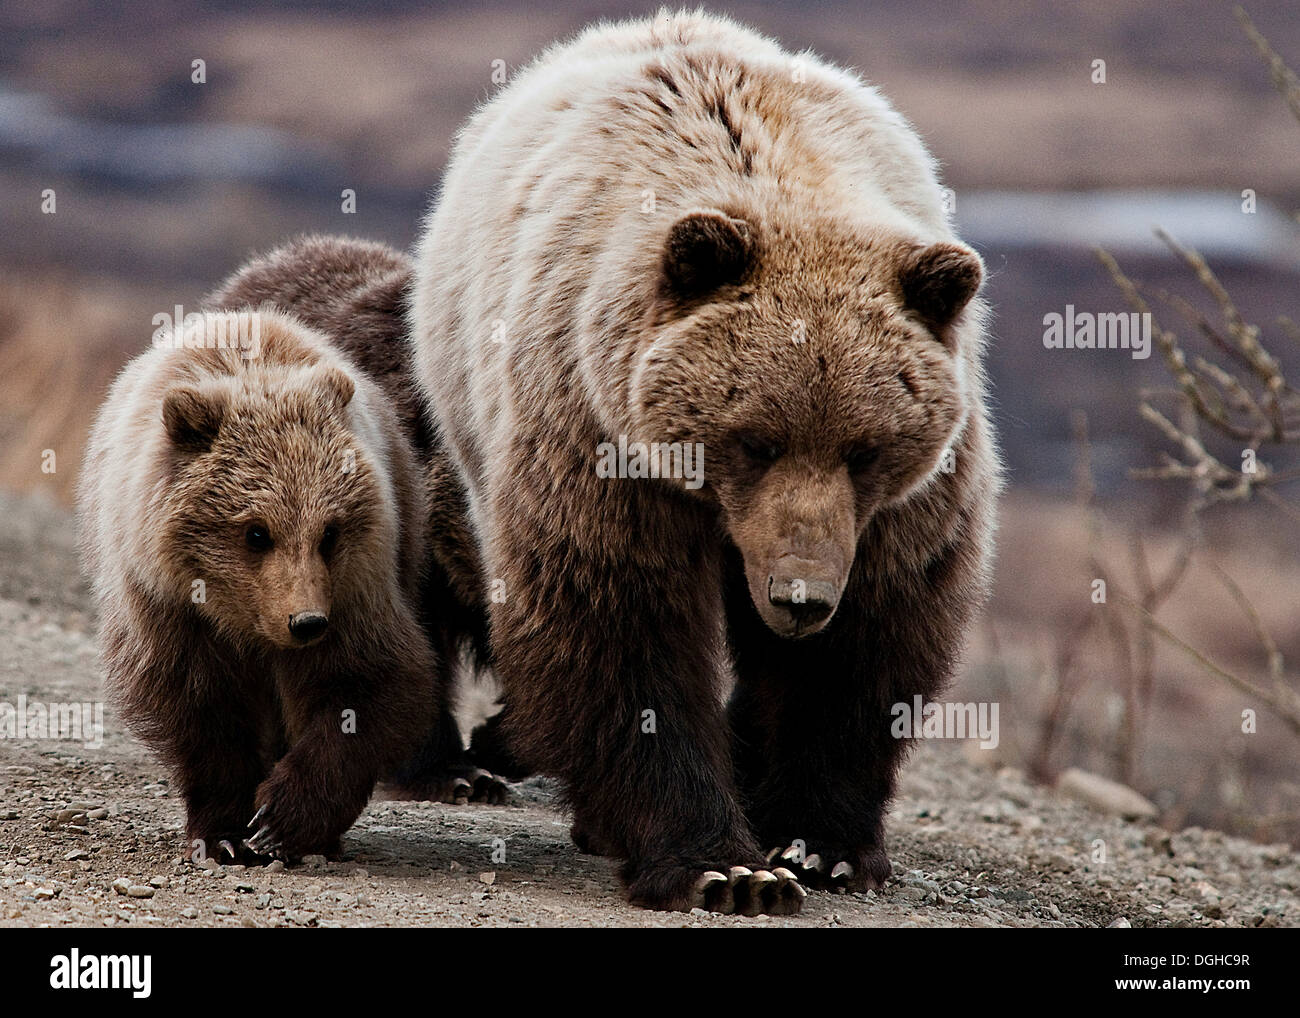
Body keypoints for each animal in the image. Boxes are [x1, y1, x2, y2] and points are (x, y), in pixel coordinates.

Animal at [79, 306, 448, 863]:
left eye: (329, 531)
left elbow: (362, 685)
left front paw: (283, 820)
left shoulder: (355, 593)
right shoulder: (169, 607)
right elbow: (200, 708)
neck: (245, 620)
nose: (306, 622)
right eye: (256, 531)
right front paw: (227, 832)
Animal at [410, 10, 1000, 915]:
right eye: (755, 437)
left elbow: (869, 638)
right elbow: (622, 627)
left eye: (865, 447)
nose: (799, 597)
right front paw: (723, 867)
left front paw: (818, 844)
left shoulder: (900, 506)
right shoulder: (599, 435)